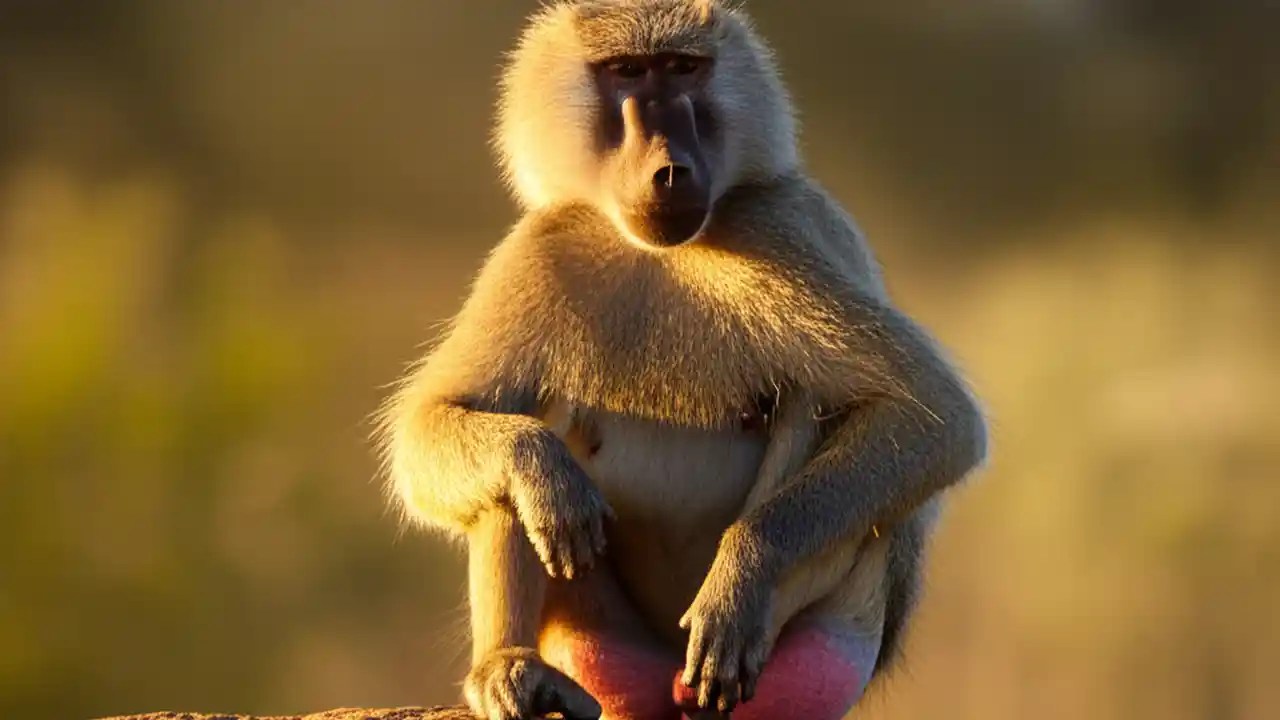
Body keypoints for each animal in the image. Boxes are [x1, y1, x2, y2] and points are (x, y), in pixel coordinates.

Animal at [377, 2, 987, 719]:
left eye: (683, 68)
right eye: (626, 71)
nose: (670, 170)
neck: (660, 249)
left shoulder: (780, 230)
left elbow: (934, 416)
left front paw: (740, 580)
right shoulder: (537, 251)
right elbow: (436, 426)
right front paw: (544, 475)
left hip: (838, 631)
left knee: (814, 407)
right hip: (602, 643)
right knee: (515, 453)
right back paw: (513, 667)